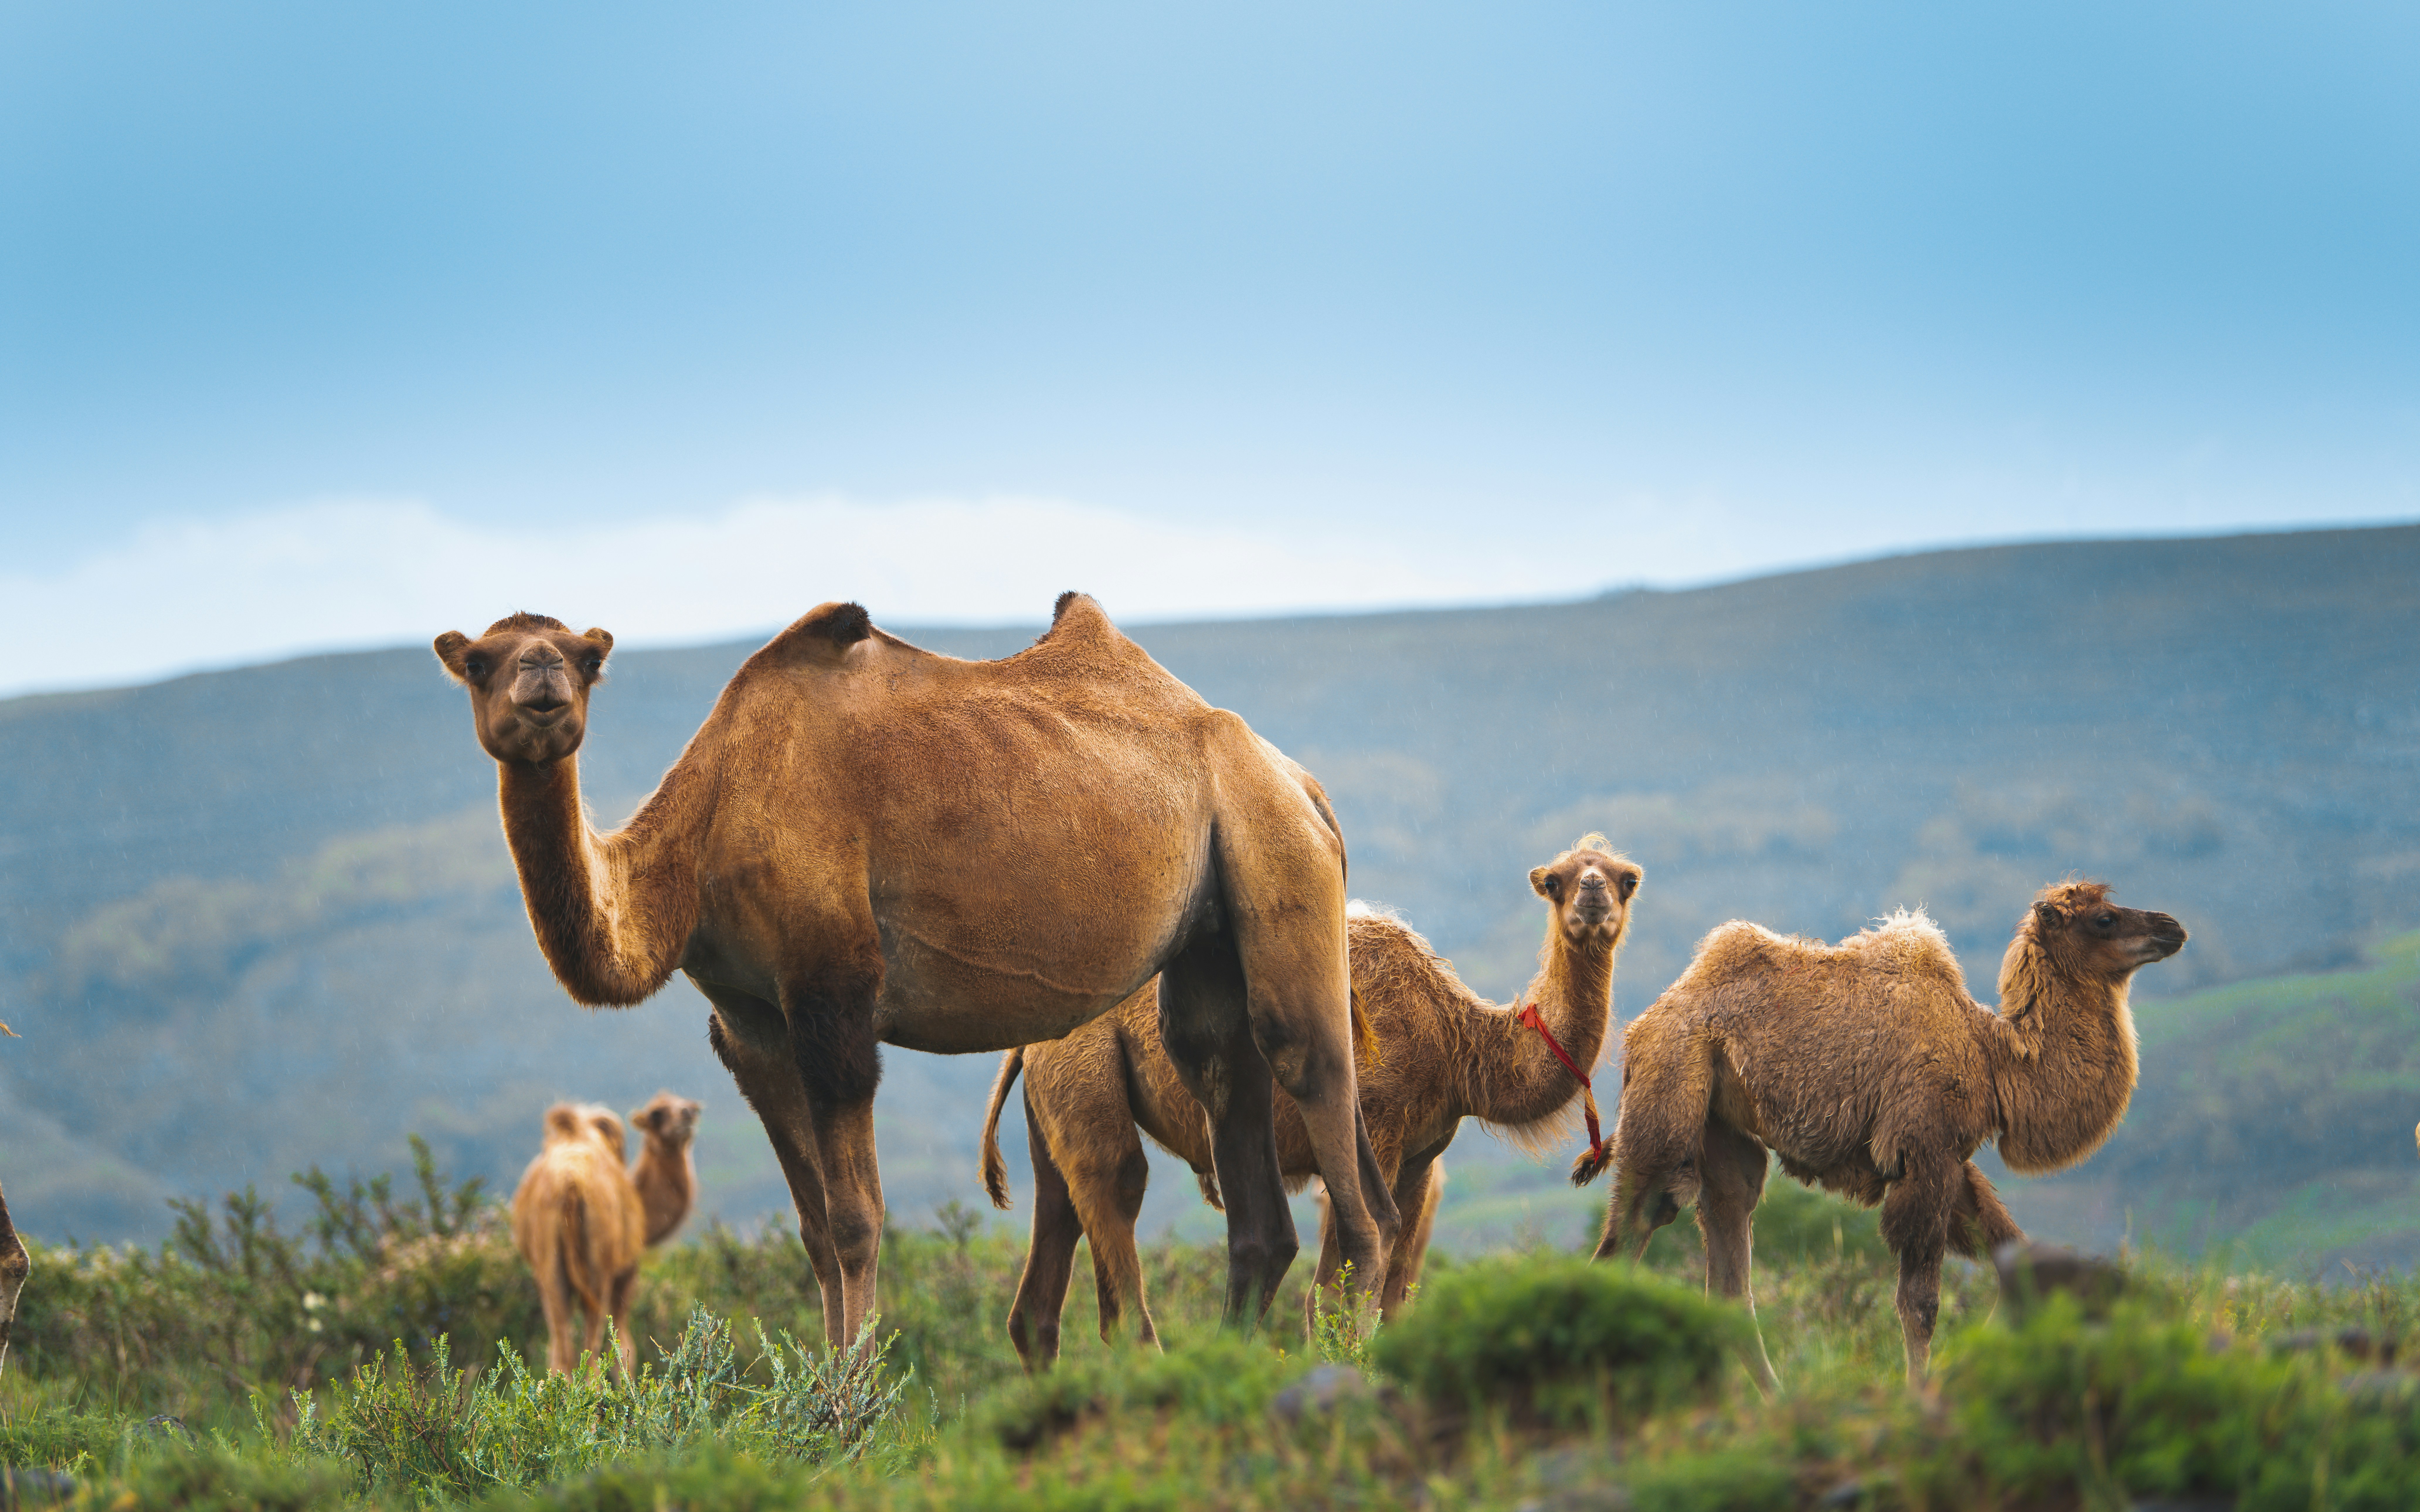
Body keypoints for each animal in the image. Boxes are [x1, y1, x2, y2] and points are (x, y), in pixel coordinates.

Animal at [512, 1103, 649, 1375]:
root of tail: (571, 1182)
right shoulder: (628, 1271)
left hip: (551, 1266)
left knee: (563, 1350)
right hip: (601, 1269)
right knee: (593, 1350)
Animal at [980, 838, 1641, 1369]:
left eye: (1626, 877)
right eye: (1555, 881)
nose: (1591, 894)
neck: (1457, 1043)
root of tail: (1023, 1046)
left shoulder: (1422, 1155)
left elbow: (1393, 1294)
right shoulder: (1377, 1129)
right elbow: (1333, 1293)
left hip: (1054, 1105)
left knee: (1049, 1248)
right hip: (1089, 1069)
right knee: (1117, 1185)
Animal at [1591, 880, 2186, 1383]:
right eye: (2105, 919)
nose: (2172, 927)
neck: (1992, 1058)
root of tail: (1642, 1027)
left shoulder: (1951, 1158)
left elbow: (2013, 1254)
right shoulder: (1925, 1152)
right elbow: (1920, 1307)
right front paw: (1919, 1395)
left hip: (1722, 1131)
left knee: (1729, 1270)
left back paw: (1774, 1396)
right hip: (1671, 1092)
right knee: (1635, 1227)